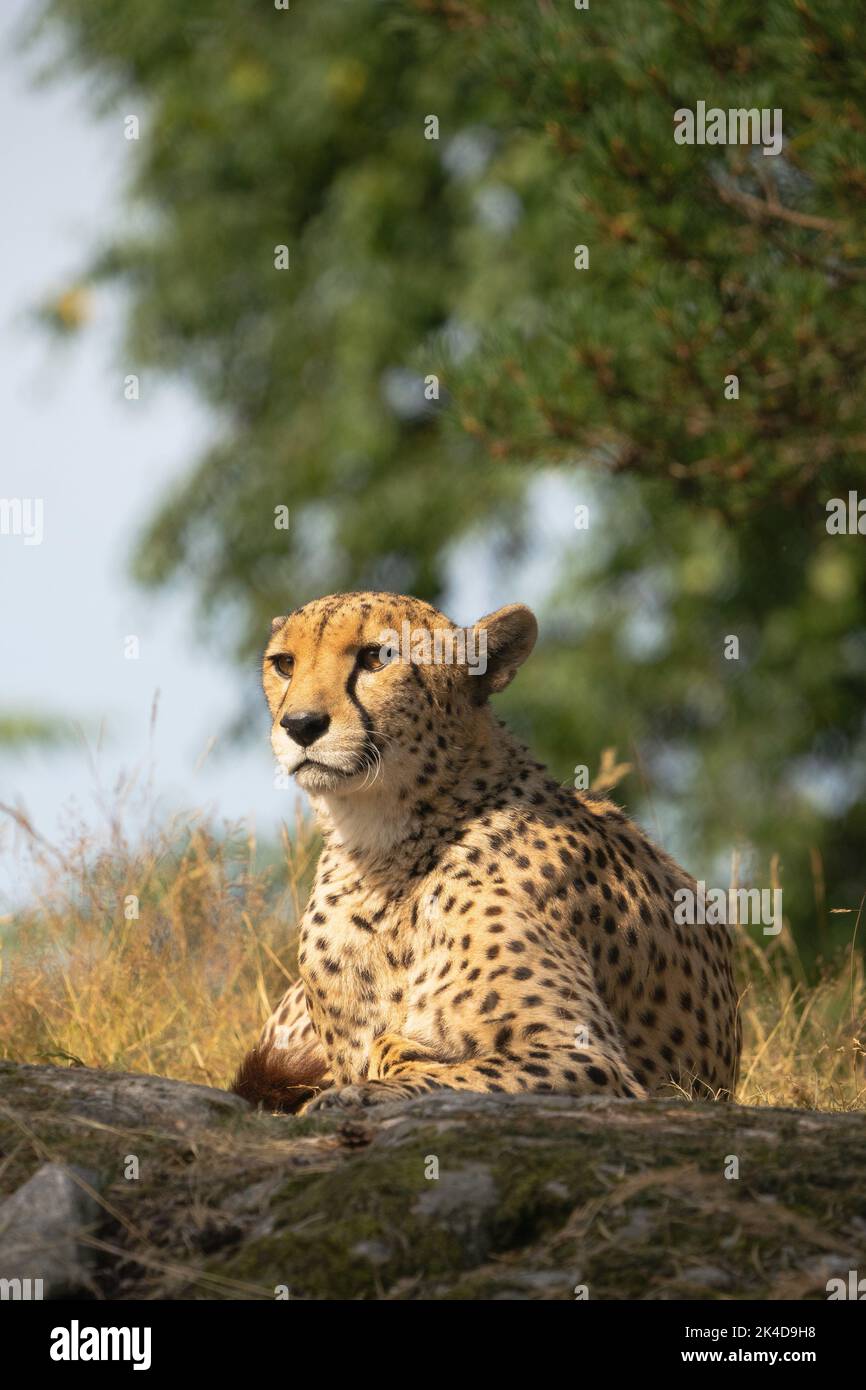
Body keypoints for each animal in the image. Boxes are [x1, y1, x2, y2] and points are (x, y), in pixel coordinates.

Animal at [232, 590, 741, 1114]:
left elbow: (425, 1063)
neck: (381, 849)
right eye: (284, 664)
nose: (300, 725)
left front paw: (370, 1085)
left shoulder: (593, 1059)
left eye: (377, 657)